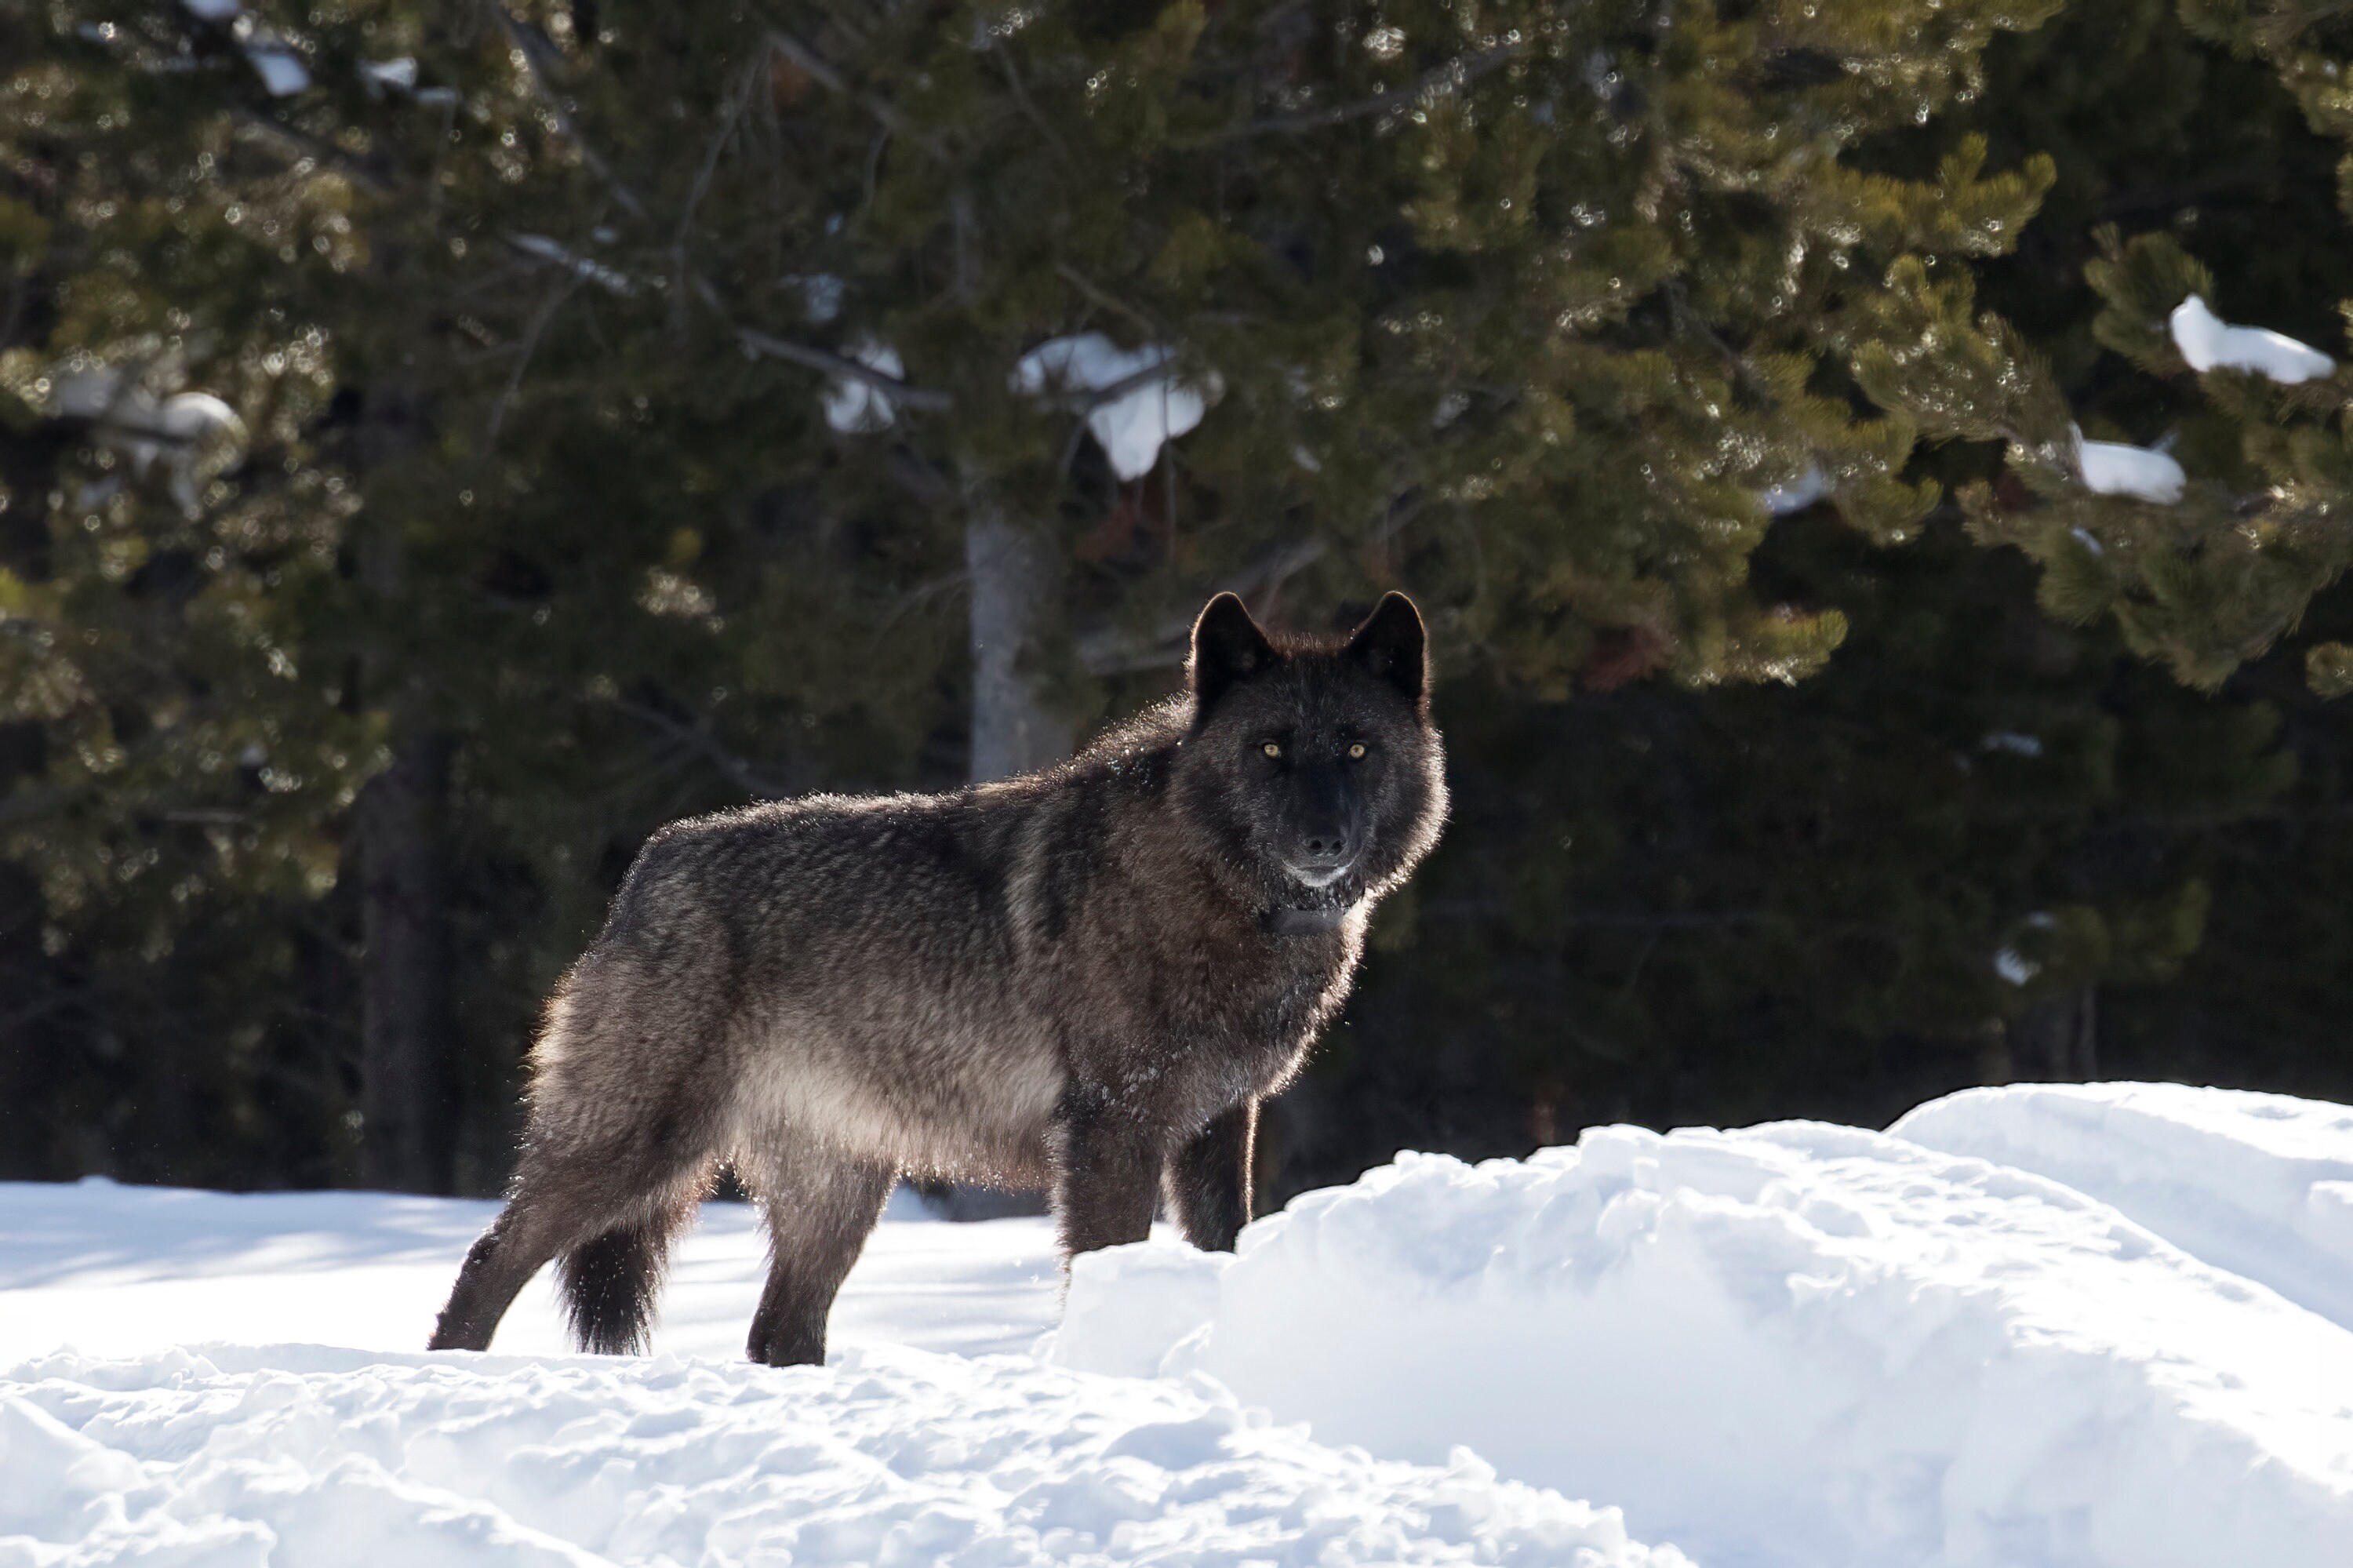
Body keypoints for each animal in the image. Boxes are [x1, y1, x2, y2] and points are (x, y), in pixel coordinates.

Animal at [428, 590, 1448, 1366]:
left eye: (1357, 749)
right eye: (1270, 749)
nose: (1322, 841)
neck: (1215, 890)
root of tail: (650, 866)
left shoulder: (1218, 1123)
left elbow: (1219, 1246)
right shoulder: (1114, 1130)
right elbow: (1104, 1256)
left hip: (837, 1196)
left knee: (778, 1331)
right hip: (636, 1147)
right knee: (487, 1258)